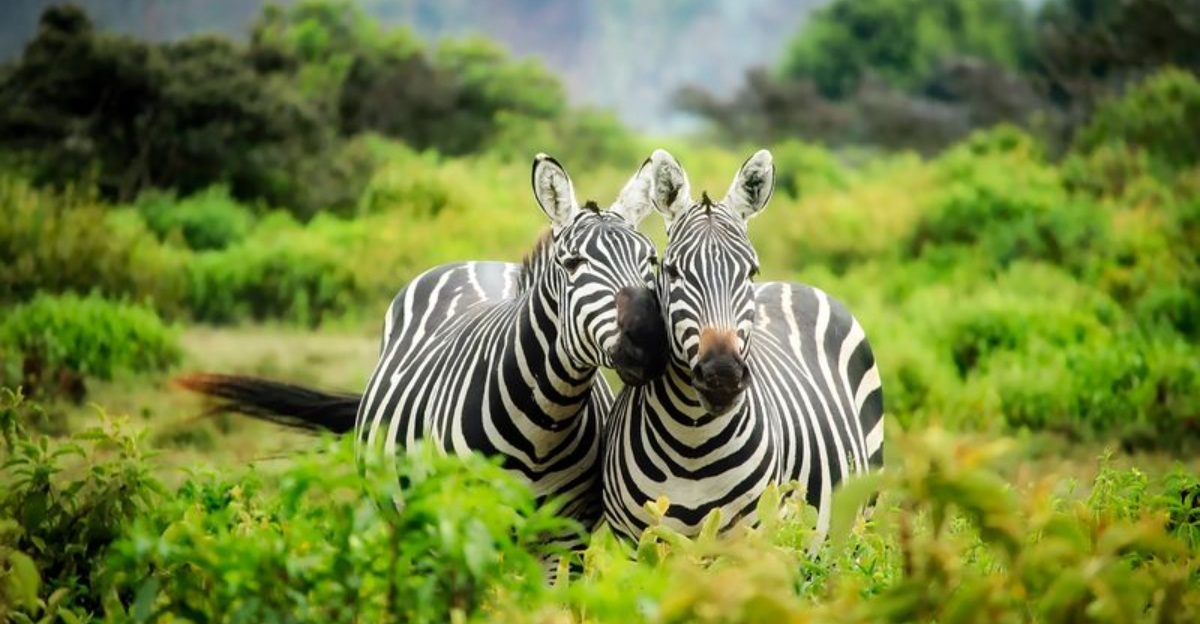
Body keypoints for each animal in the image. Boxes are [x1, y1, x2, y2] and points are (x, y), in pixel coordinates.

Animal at [180, 153, 669, 531]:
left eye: (650, 259)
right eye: (572, 264)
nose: (648, 340)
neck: (545, 423)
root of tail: (476, 261)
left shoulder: (564, 537)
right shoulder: (464, 522)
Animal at [601, 149, 884, 541]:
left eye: (751, 272)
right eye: (672, 271)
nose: (722, 376)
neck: (692, 443)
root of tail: (794, 284)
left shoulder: (749, 538)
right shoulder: (635, 541)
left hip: (859, 521)